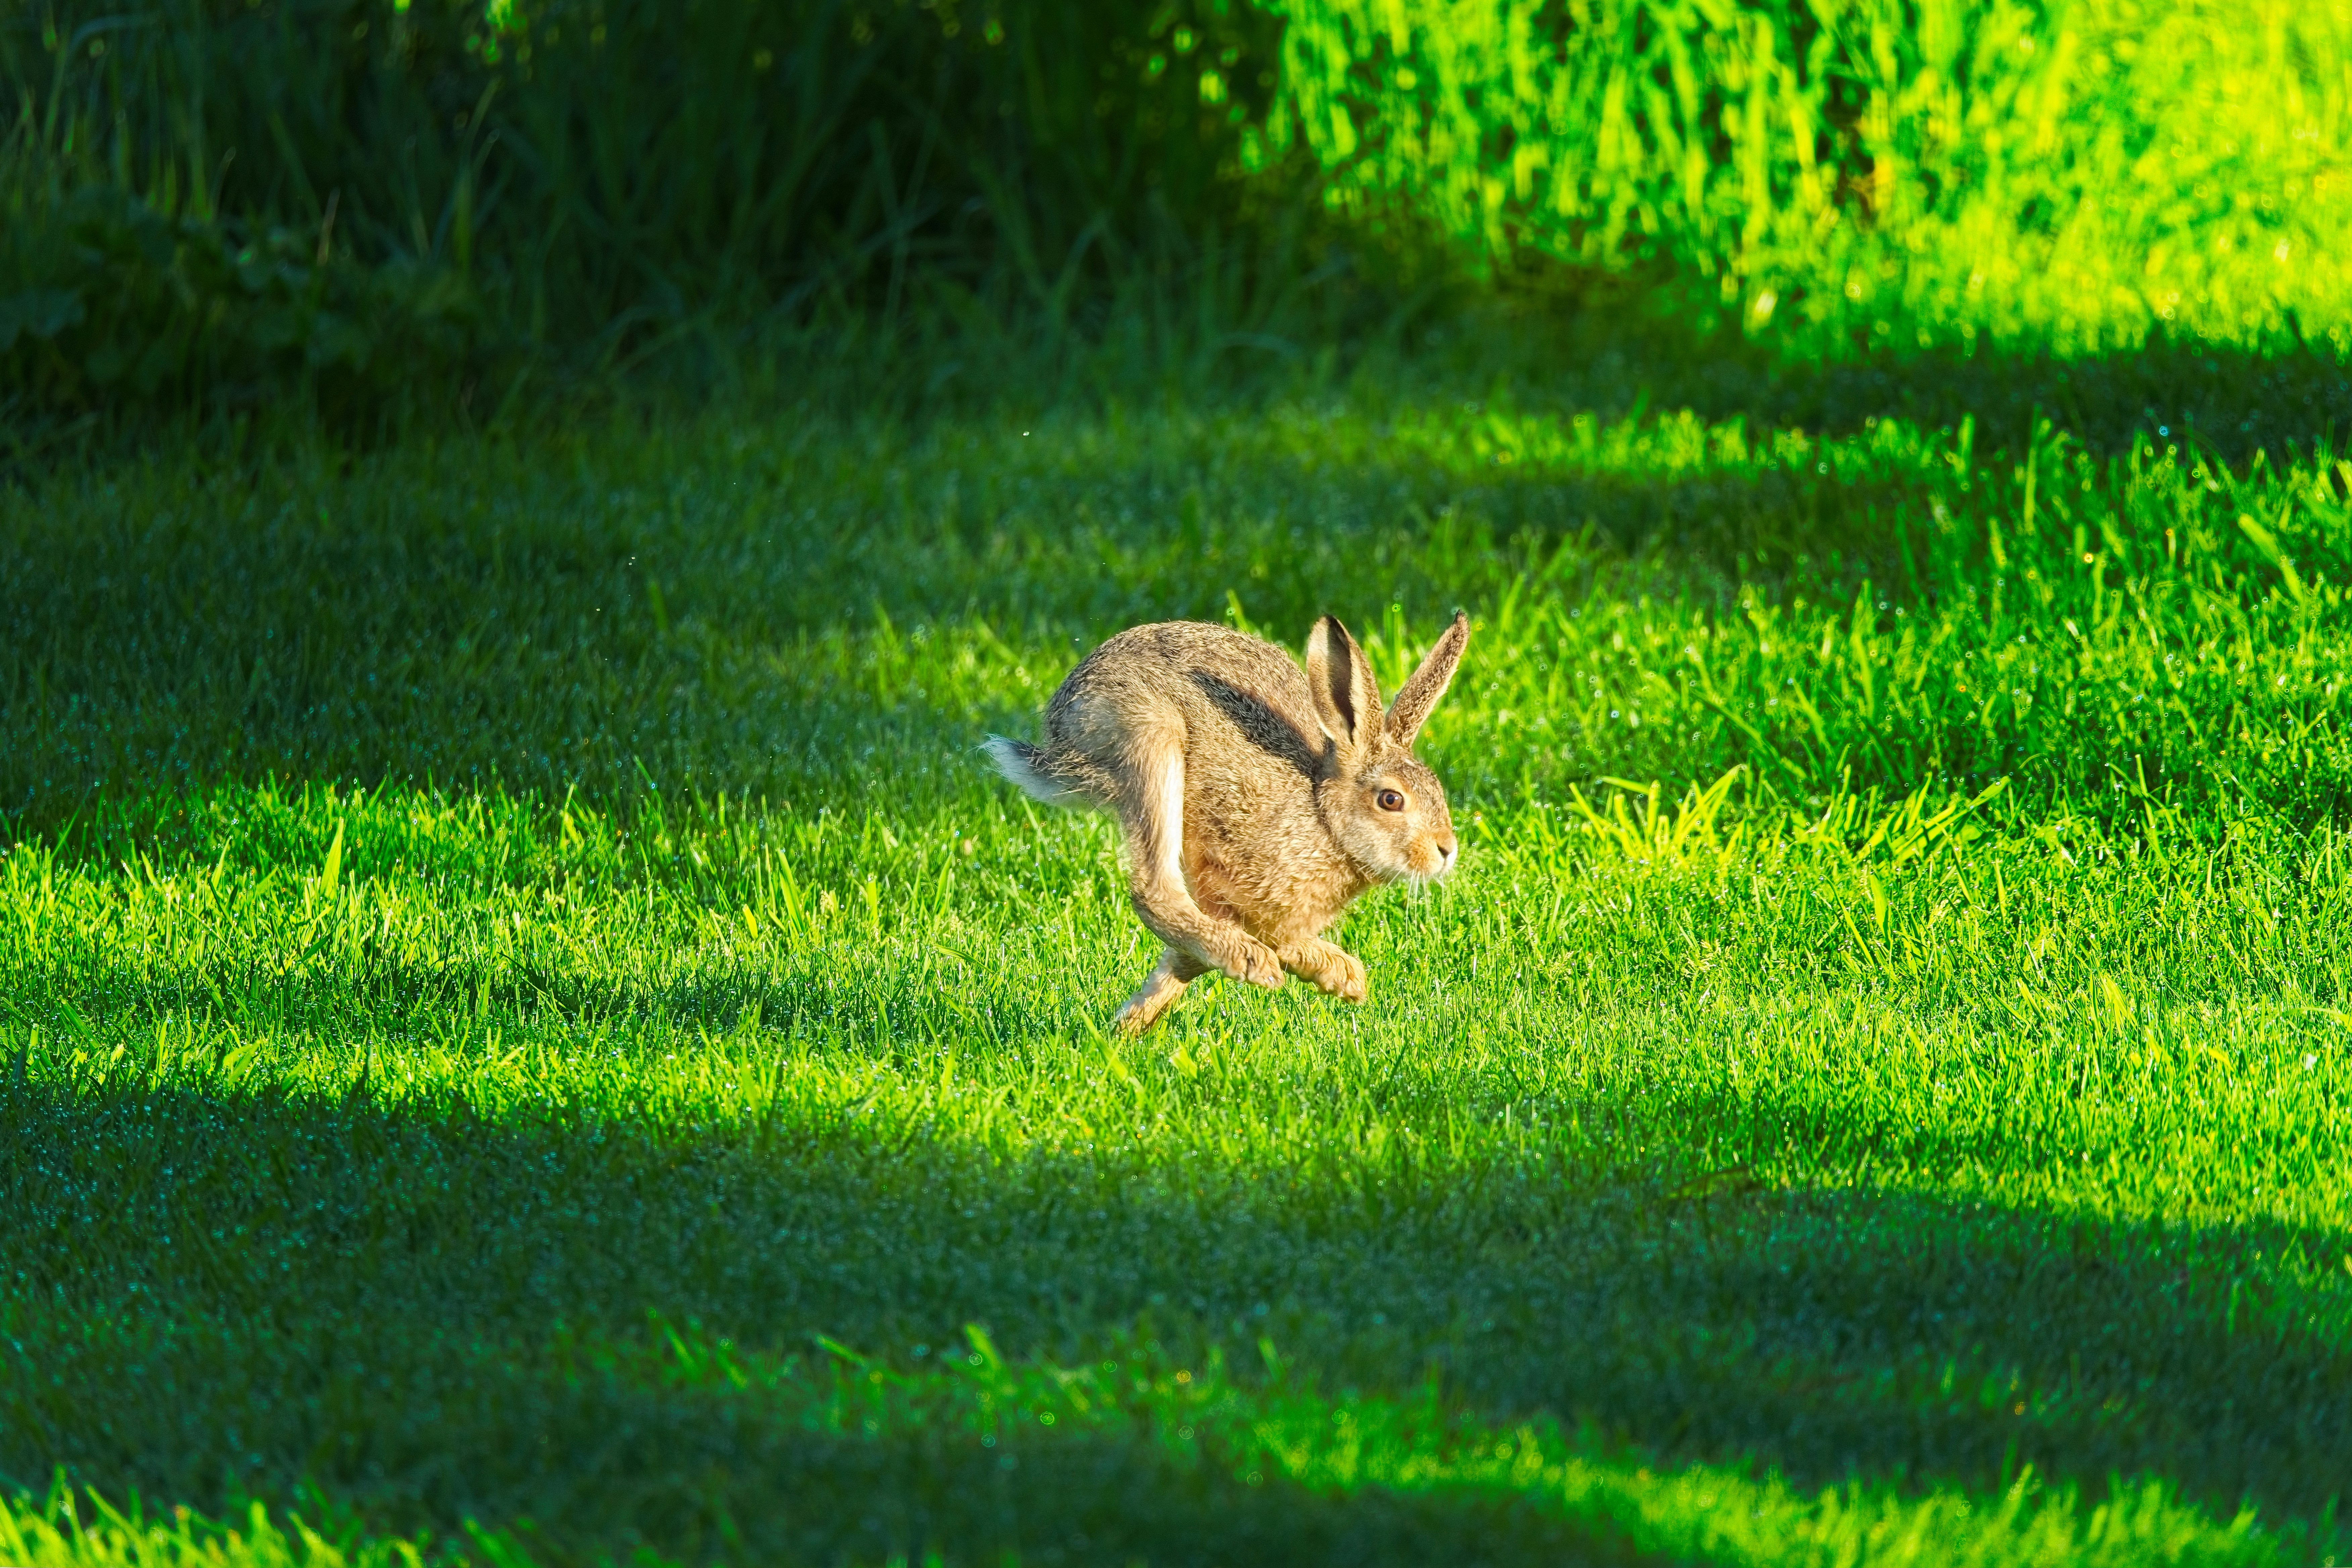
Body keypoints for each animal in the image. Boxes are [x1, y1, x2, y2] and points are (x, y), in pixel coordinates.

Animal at [985, 611, 1469, 1033]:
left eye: (1436, 789)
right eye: (1391, 800)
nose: (1446, 850)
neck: (1325, 823)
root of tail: (1061, 728)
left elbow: (1186, 963)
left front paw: (1343, 979)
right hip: (1151, 741)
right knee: (1152, 891)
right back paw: (1246, 961)